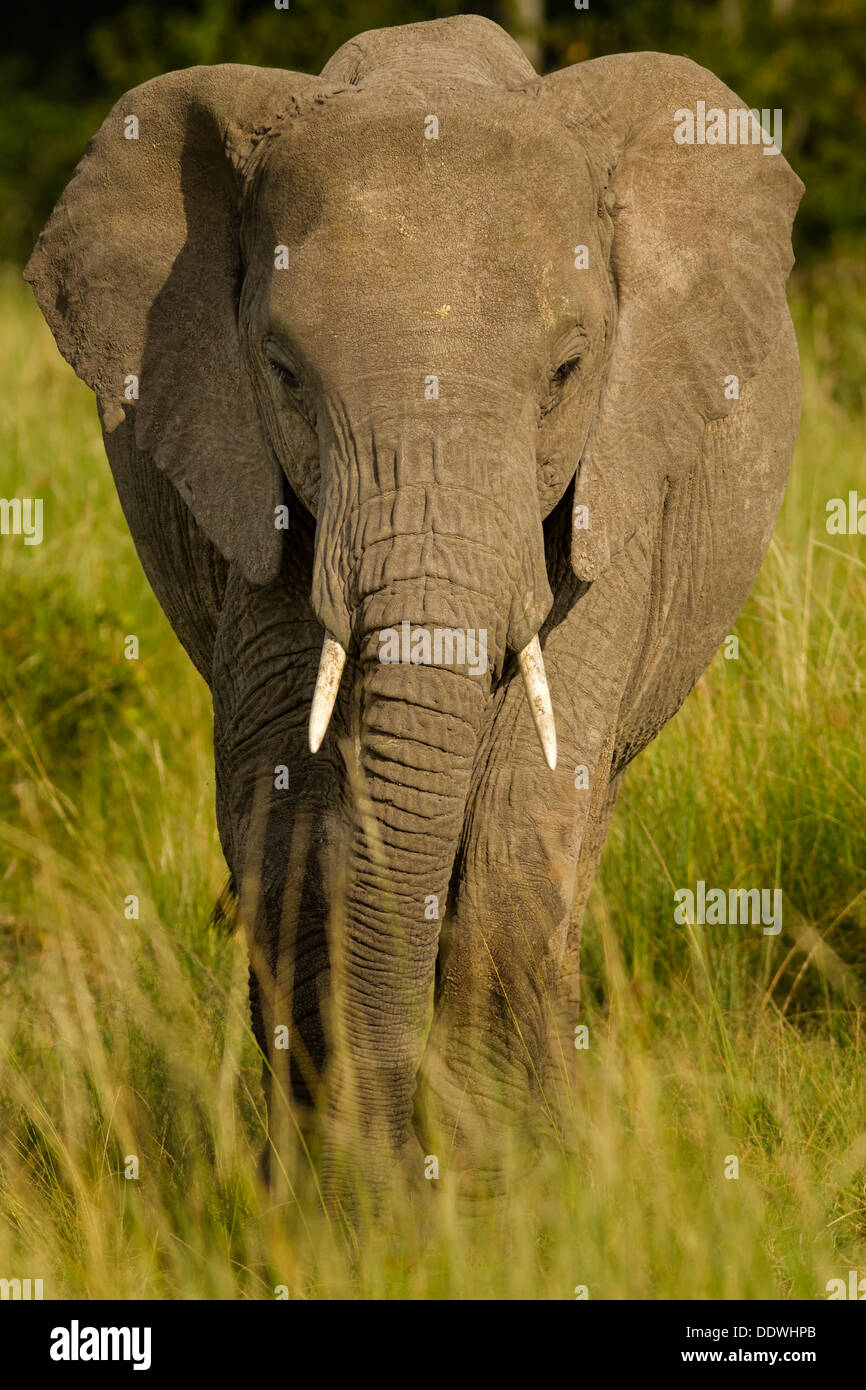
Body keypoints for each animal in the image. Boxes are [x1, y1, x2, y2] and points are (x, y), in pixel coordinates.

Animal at [26, 15, 803, 1200]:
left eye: (568, 370)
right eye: (282, 371)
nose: (398, 1164)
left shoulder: (617, 485)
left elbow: (518, 824)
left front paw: (500, 1193)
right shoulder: (254, 487)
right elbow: (282, 807)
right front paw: (331, 1203)